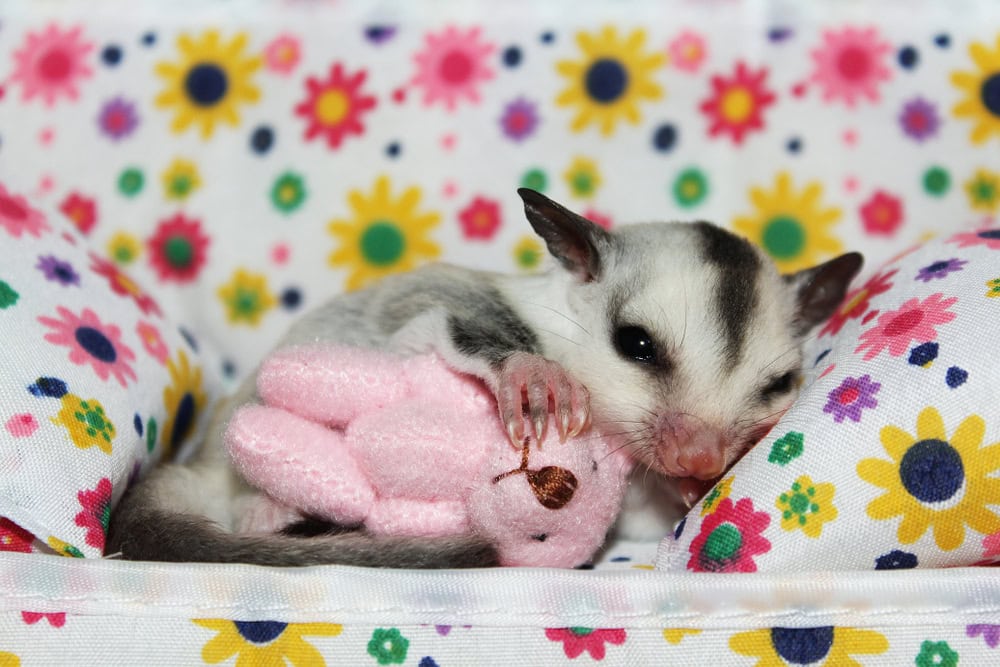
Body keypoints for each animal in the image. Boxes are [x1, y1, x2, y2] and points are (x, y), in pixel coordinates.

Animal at [106, 188, 862, 568]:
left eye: (777, 384)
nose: (700, 455)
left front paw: (687, 486)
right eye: (636, 344)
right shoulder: (440, 317)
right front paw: (534, 373)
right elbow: (441, 321)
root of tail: (204, 463)